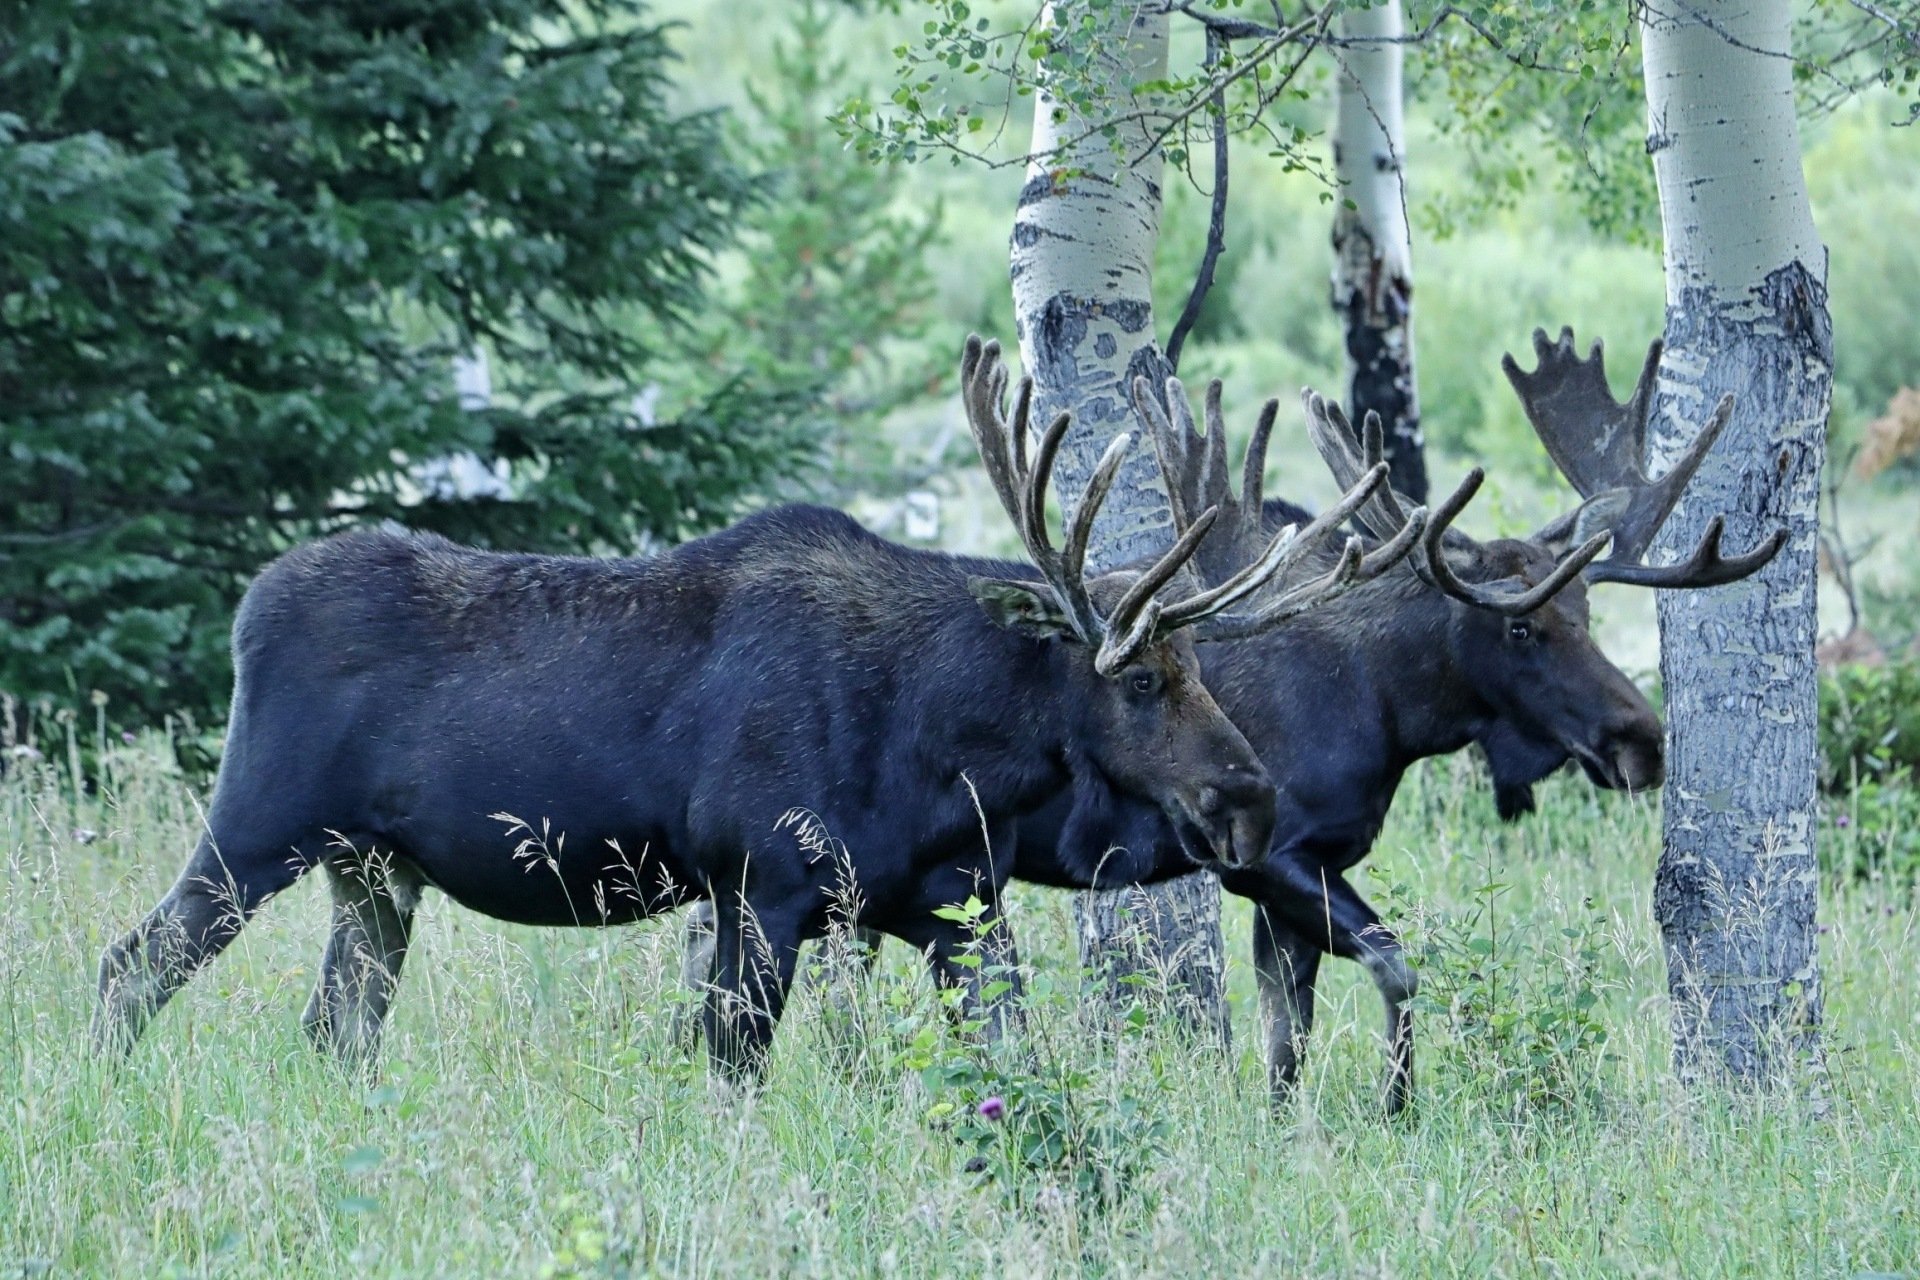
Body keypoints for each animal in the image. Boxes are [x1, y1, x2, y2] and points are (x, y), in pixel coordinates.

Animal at [93, 335, 1418, 1082]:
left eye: (1205, 669)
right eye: (1141, 676)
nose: (1248, 796)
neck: (947, 747)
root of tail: (248, 607)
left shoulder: (937, 901)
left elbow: (1013, 1056)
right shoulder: (761, 883)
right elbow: (730, 1067)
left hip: (372, 871)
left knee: (334, 1027)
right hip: (257, 824)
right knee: (129, 963)